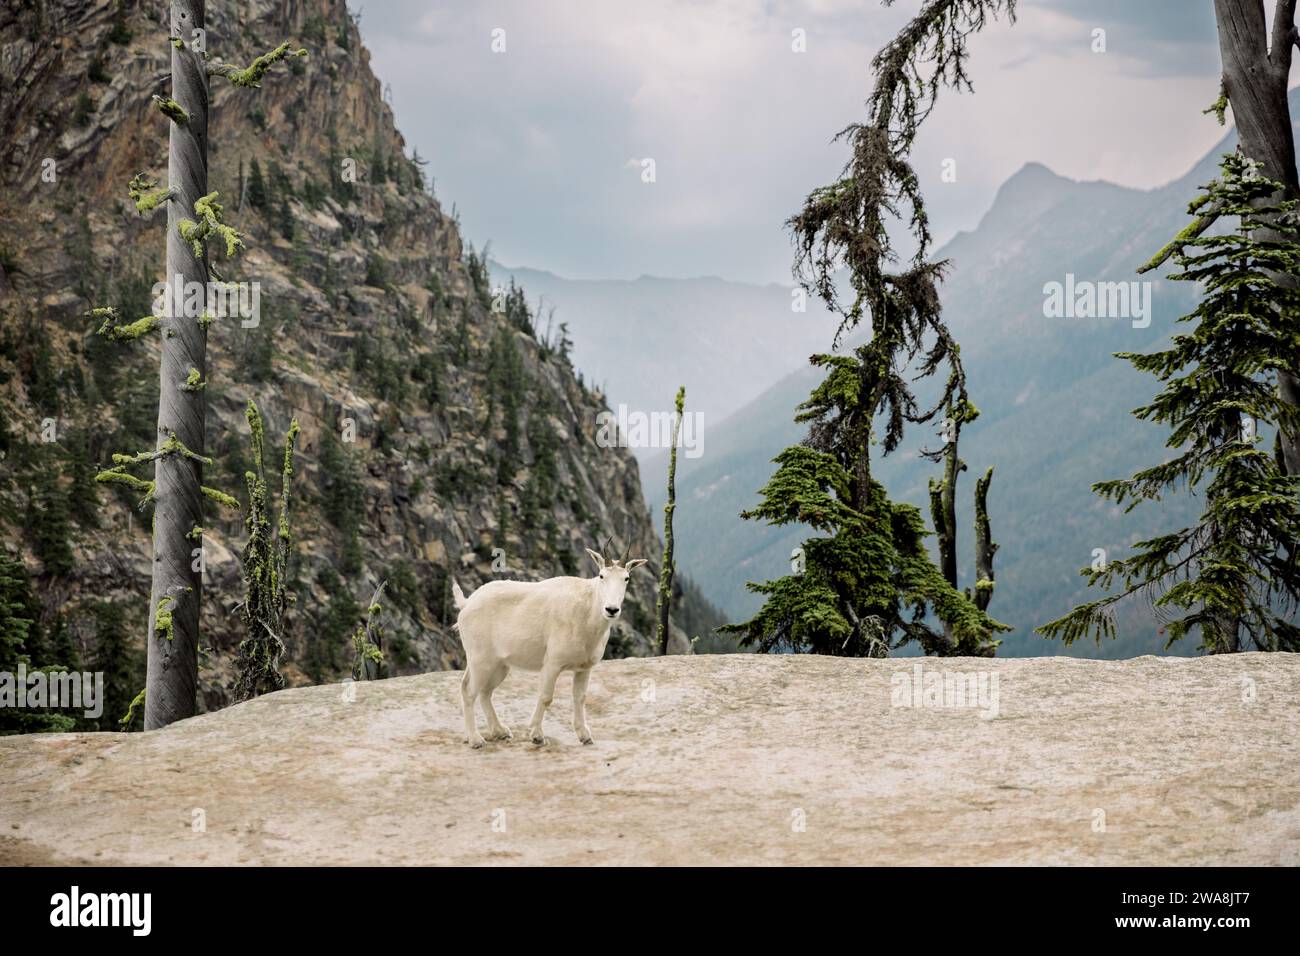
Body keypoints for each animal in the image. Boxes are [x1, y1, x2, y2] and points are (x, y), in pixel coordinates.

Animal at [453, 548, 646, 748]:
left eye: (626, 578)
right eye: (601, 576)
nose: (611, 609)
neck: (586, 610)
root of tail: (466, 604)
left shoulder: (584, 668)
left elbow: (580, 697)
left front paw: (585, 736)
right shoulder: (552, 663)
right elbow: (546, 697)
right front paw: (537, 735)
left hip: (499, 664)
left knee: (485, 692)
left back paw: (500, 732)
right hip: (480, 659)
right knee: (469, 691)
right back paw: (475, 739)